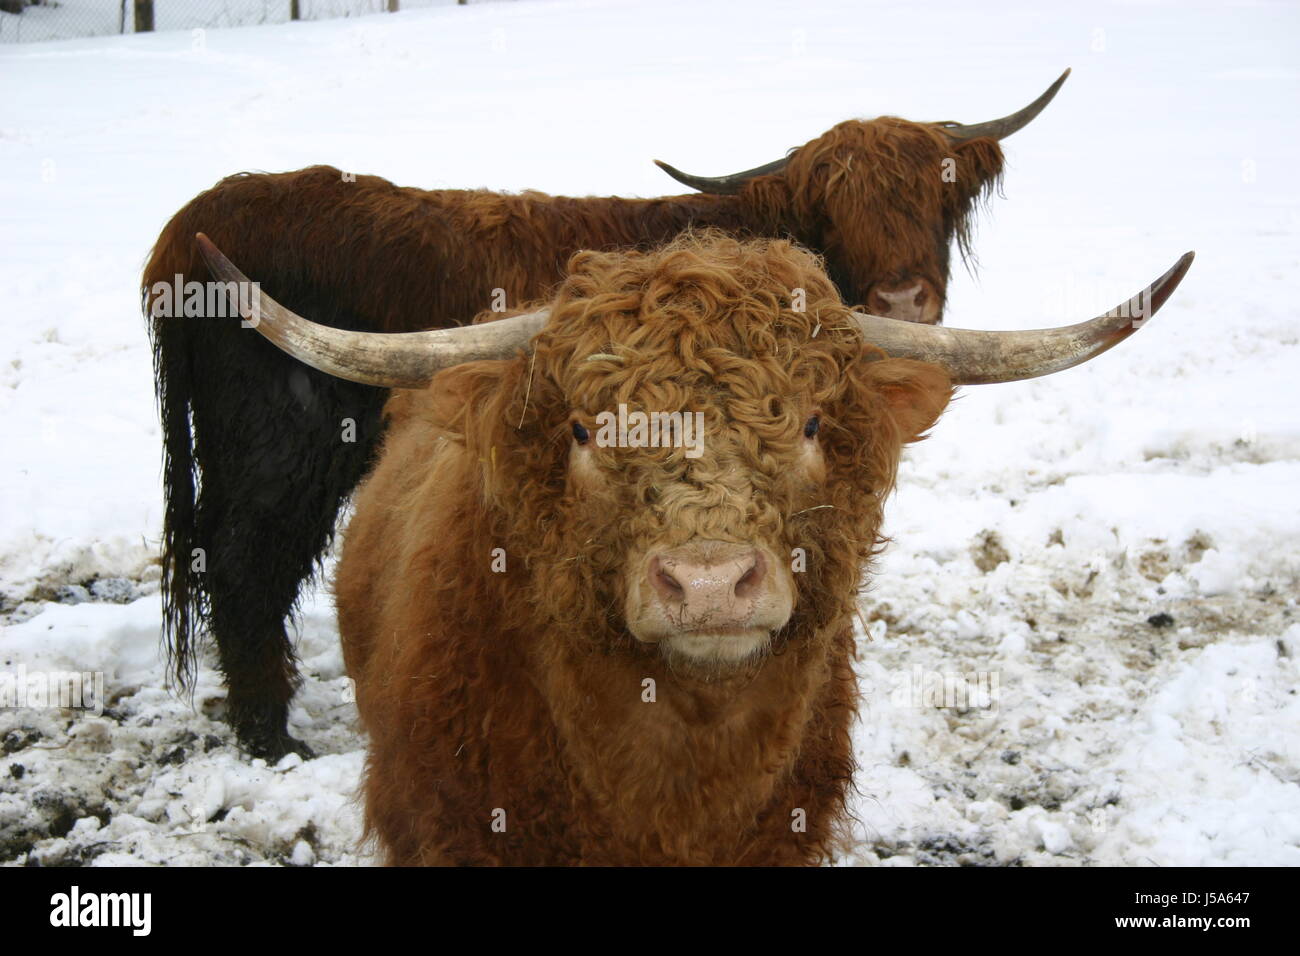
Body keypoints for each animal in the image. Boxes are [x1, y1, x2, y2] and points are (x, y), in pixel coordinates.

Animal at [144, 73, 1069, 759]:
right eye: (834, 201)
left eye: (934, 194)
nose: (904, 299)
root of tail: (193, 224)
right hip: (282, 451)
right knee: (243, 565)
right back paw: (272, 739)